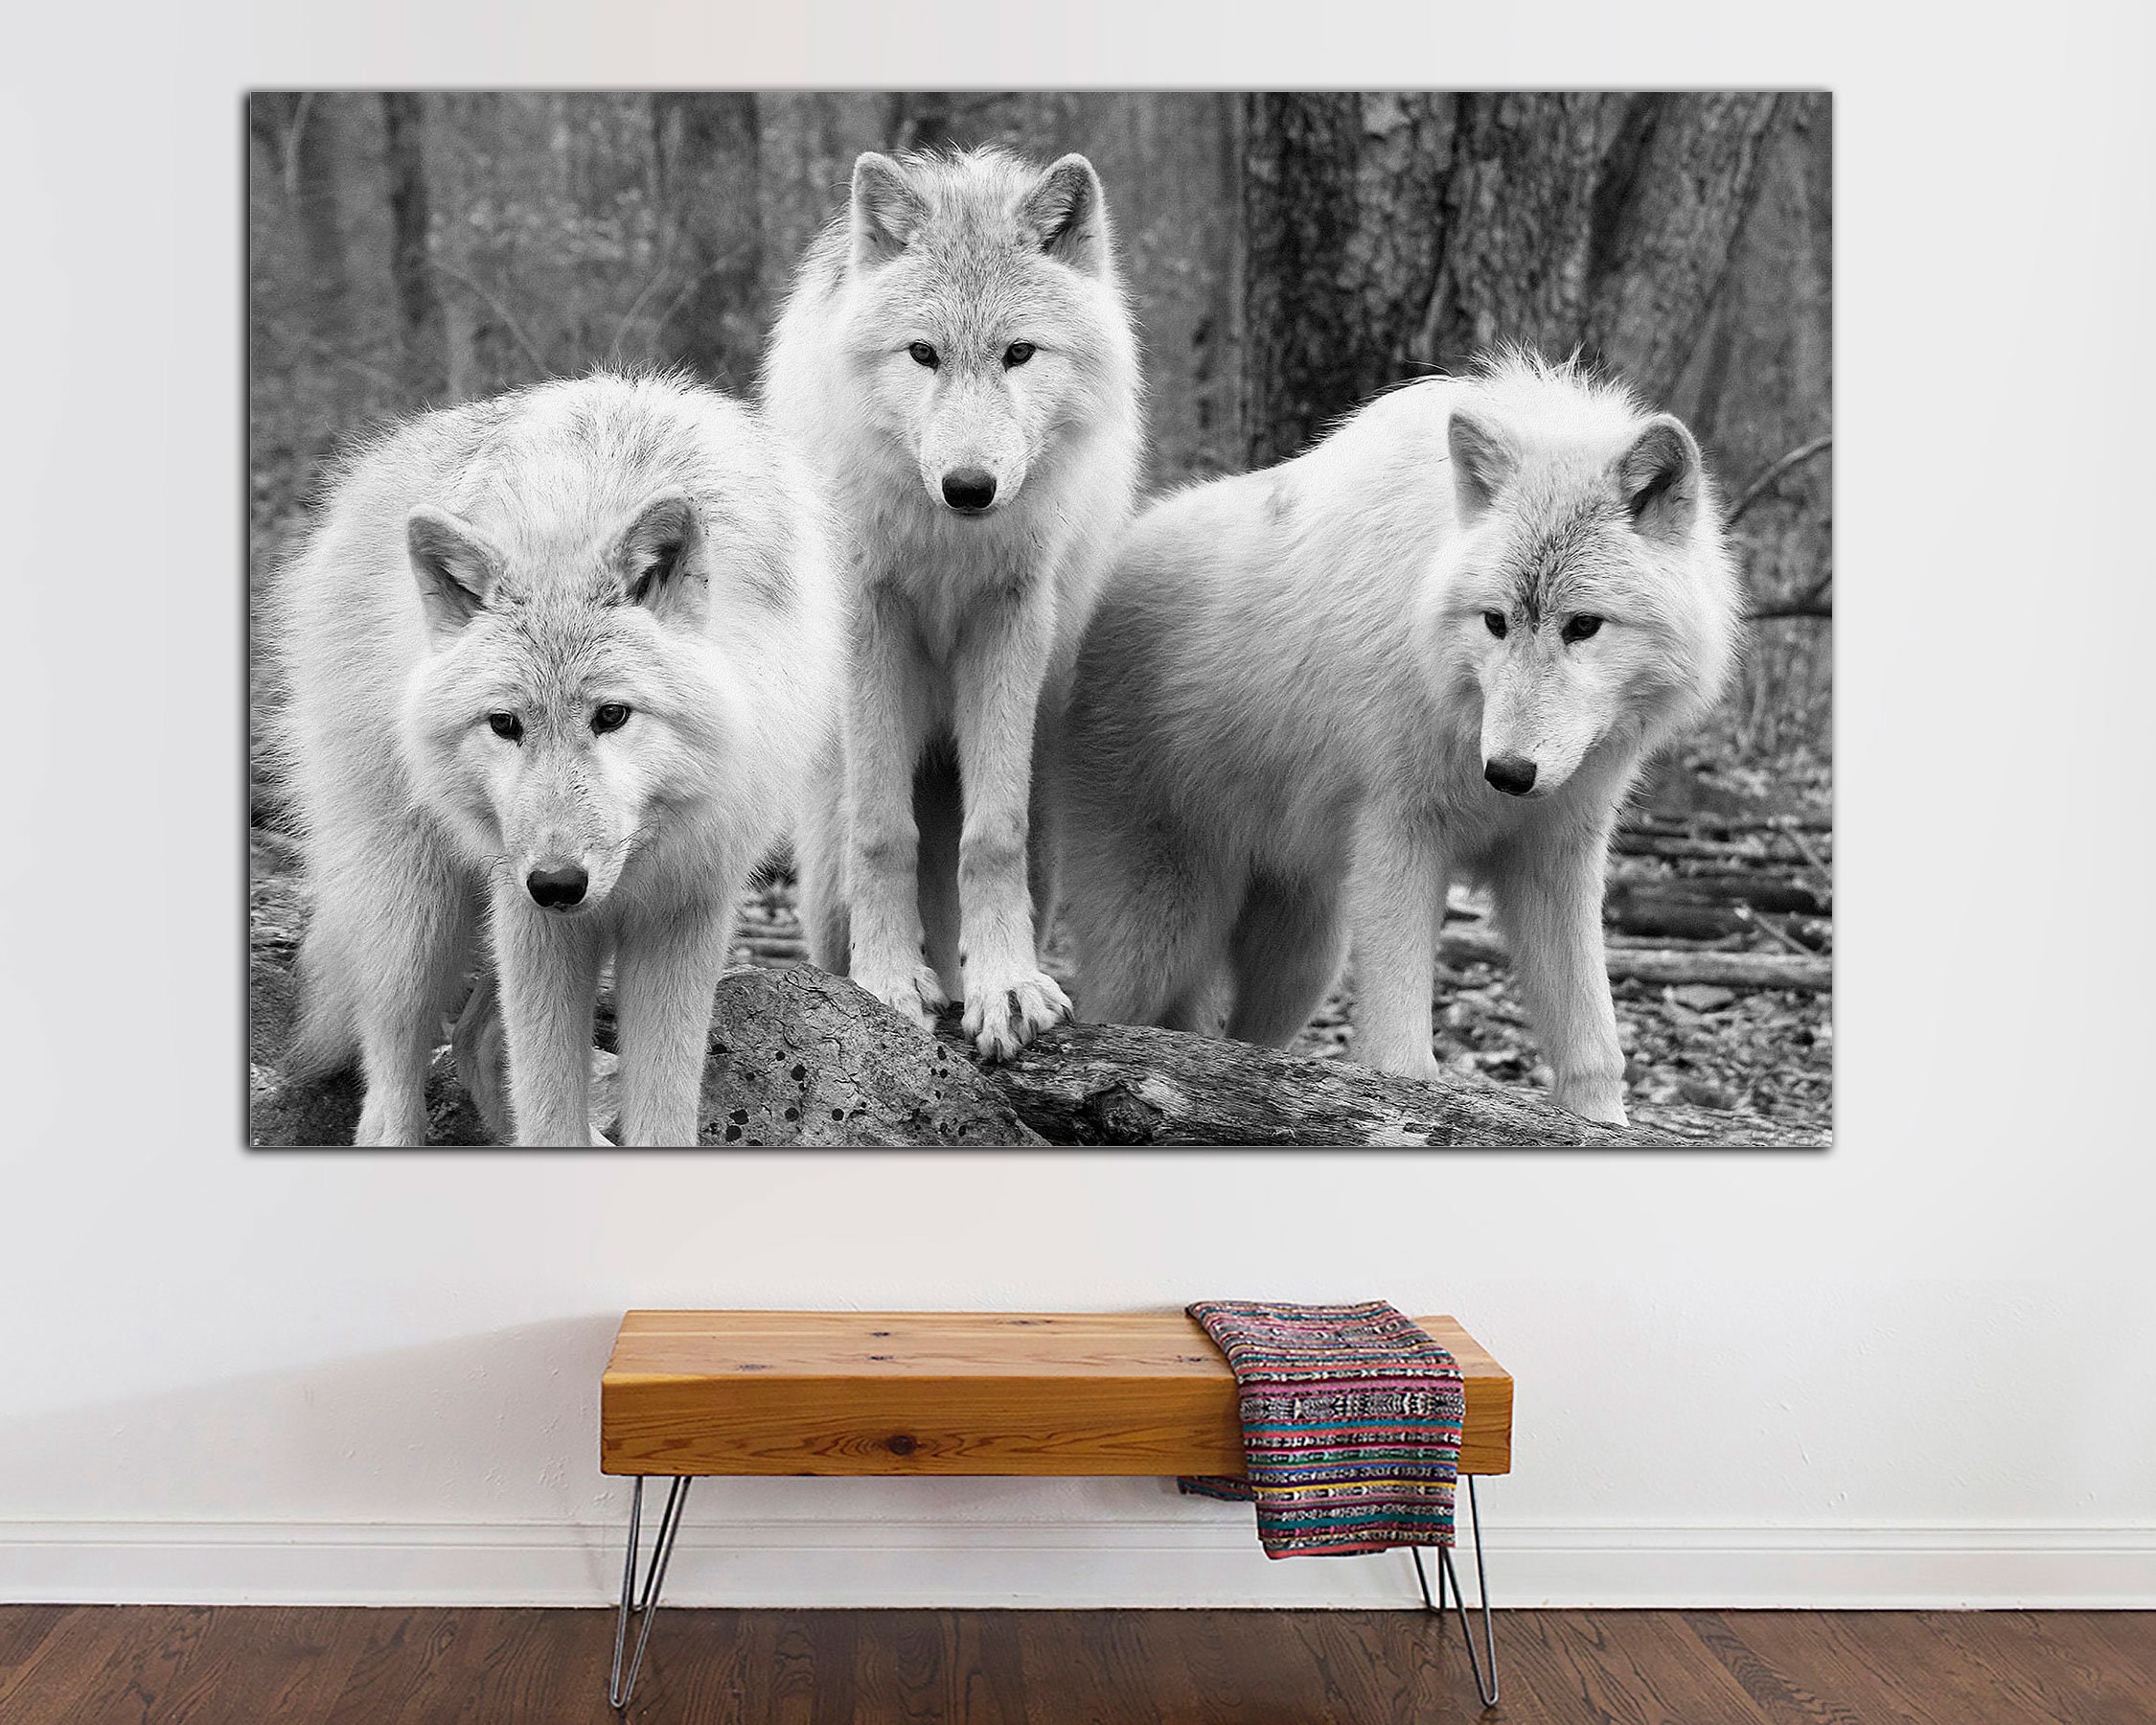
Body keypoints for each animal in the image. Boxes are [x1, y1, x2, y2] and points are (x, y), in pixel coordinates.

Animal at [269, 373, 843, 1145]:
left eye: (611, 716)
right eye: (505, 724)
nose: (558, 882)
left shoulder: (684, 913)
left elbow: (661, 1112)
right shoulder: (532, 919)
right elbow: (547, 1111)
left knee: (476, 1041)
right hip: (416, 914)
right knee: (394, 1066)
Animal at [761, 146, 1144, 1060]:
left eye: (1019, 353)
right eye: (924, 354)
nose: (970, 487)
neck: (947, 540)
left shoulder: (1010, 619)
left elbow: (990, 838)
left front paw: (1005, 989)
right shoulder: (873, 620)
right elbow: (882, 833)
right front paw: (887, 984)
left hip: (1041, 806)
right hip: (823, 849)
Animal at [1059, 353, 1741, 1125]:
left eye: (1583, 626)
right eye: (1496, 622)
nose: (1508, 774)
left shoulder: (1555, 854)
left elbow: (1594, 1046)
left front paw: (1602, 1125)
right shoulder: (1400, 836)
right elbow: (1400, 1060)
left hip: (1307, 957)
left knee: (1239, 1043)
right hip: (1161, 937)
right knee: (1105, 1020)